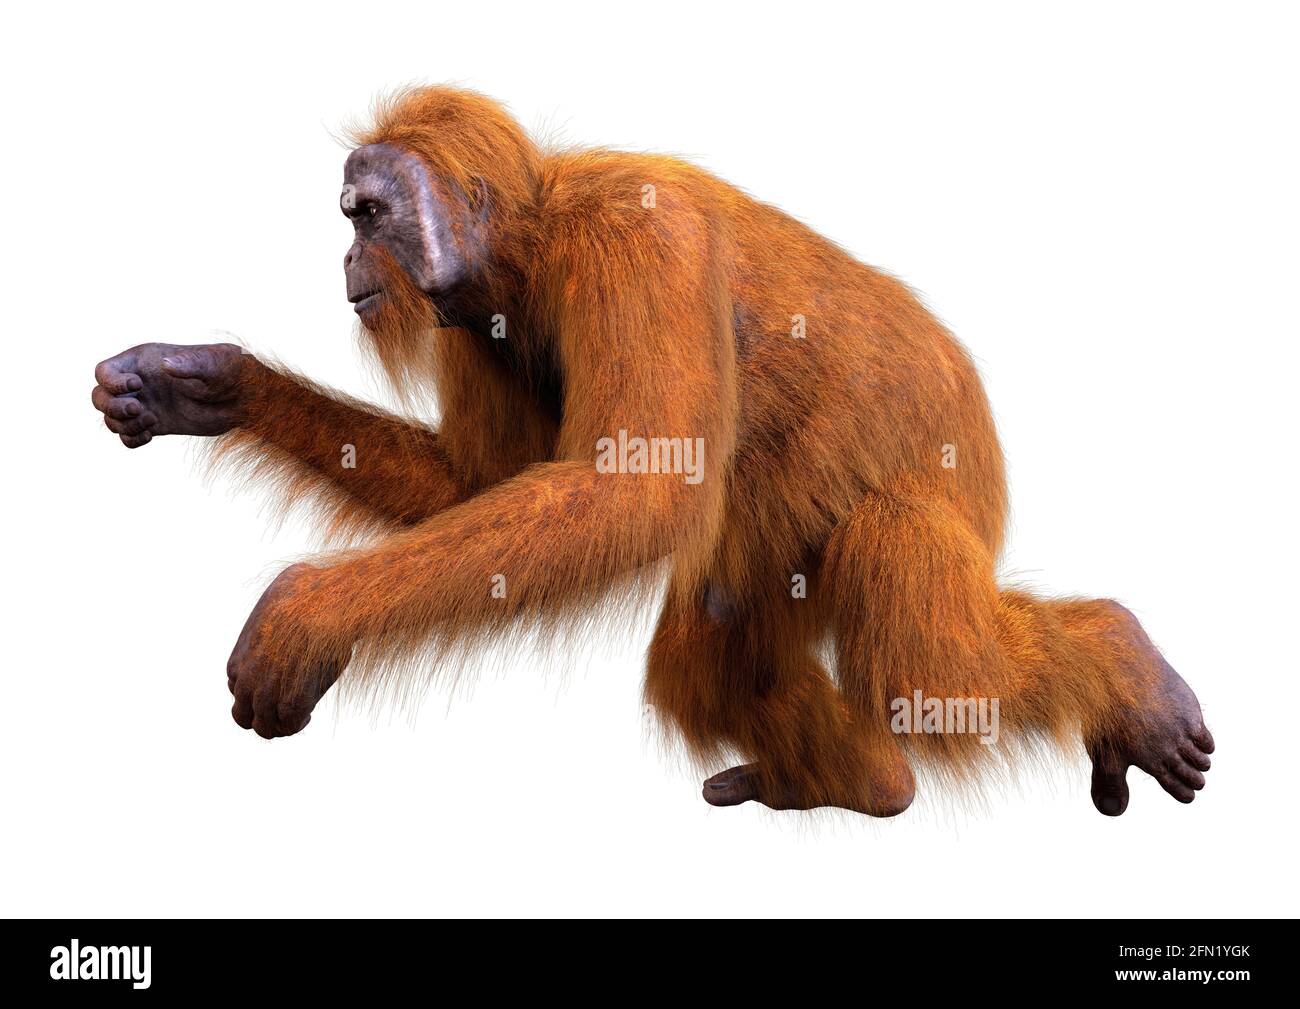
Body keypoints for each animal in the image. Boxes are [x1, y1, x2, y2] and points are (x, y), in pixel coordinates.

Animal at [91, 86, 1213, 817]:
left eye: (368, 214)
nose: (345, 257)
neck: (533, 244)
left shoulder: (637, 242)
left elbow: (634, 494)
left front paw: (309, 611)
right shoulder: (475, 318)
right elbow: (476, 488)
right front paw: (207, 386)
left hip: (942, 444)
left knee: (923, 645)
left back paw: (1114, 653)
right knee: (723, 630)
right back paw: (868, 783)